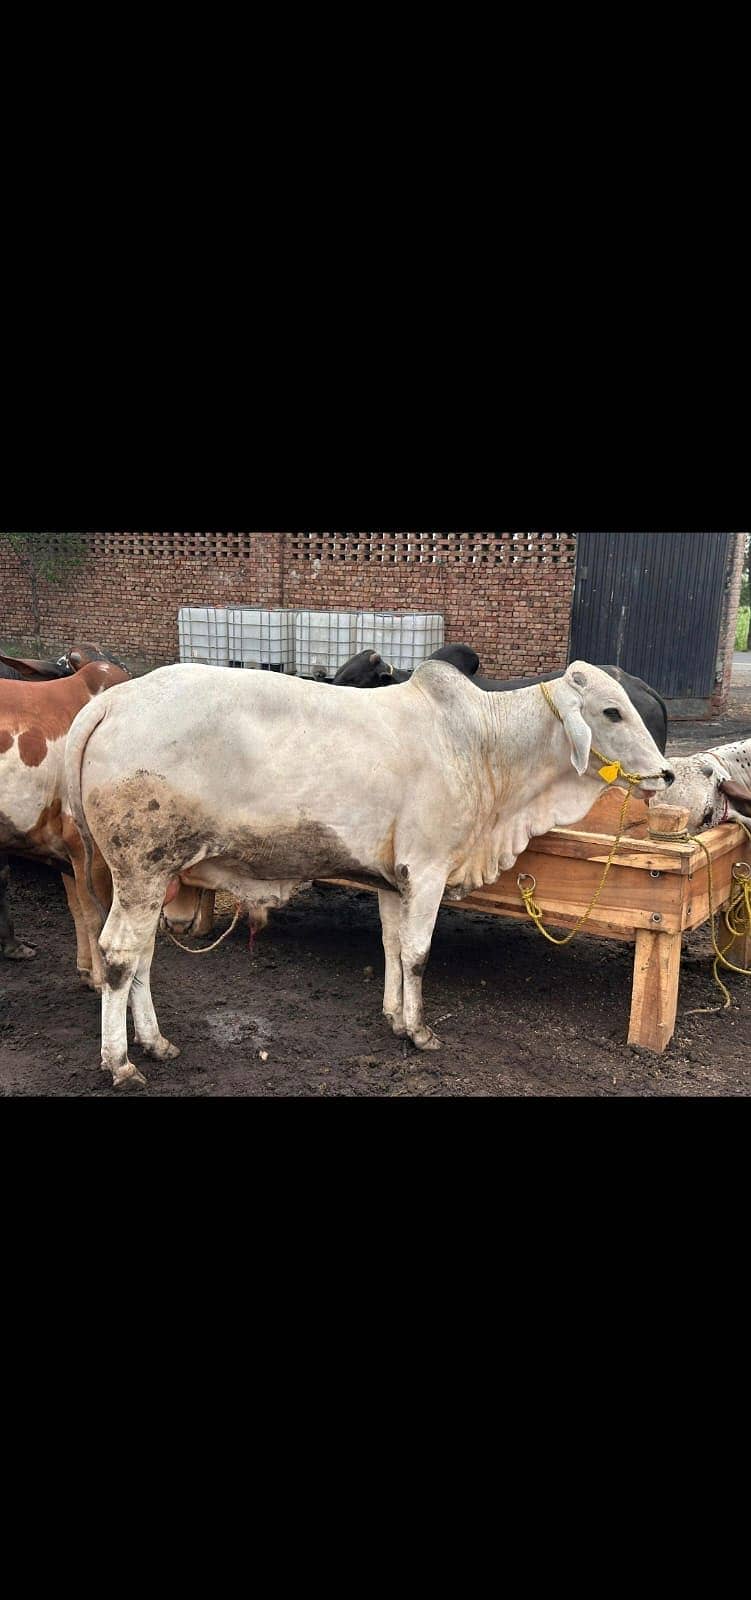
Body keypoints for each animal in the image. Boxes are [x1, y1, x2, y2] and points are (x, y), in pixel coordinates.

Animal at [0, 660, 130, 980]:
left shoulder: (66, 846)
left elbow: (77, 907)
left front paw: (85, 969)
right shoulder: (84, 845)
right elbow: (95, 914)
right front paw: (100, 977)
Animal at [64, 659, 674, 1087]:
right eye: (612, 712)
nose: (666, 773)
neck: (481, 744)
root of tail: (114, 700)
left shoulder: (394, 881)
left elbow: (392, 947)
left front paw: (395, 1018)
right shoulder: (427, 871)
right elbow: (419, 954)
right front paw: (420, 1032)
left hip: (149, 877)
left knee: (142, 957)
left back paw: (155, 1042)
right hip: (141, 868)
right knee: (118, 955)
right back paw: (120, 1062)